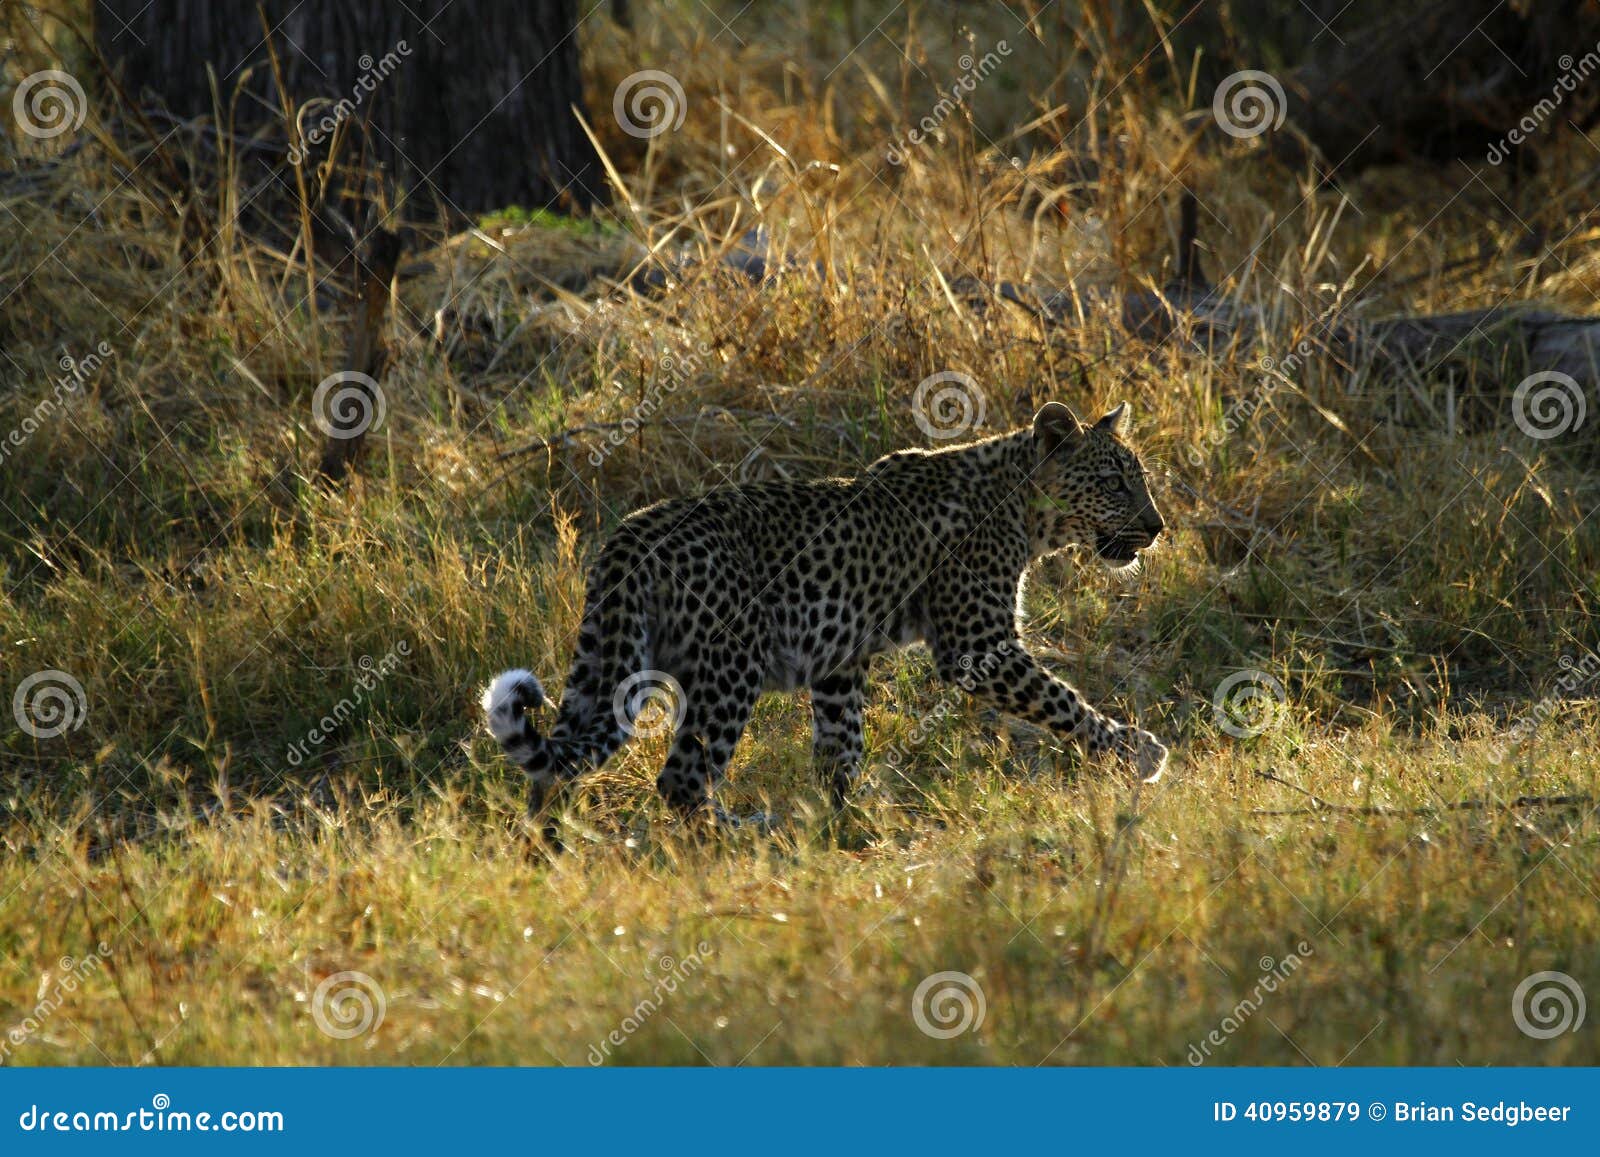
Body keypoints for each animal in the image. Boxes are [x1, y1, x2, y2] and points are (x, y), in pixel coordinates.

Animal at [483, 400, 1169, 843]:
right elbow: (1063, 700)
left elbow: (842, 745)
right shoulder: (978, 646)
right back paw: (741, 834)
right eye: (1114, 483)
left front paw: (847, 819)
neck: (1024, 511)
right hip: (731, 665)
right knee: (682, 778)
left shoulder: (841, 661)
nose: (1158, 527)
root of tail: (629, 534)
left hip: (606, 661)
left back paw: (547, 848)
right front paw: (1137, 751)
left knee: (554, 766)